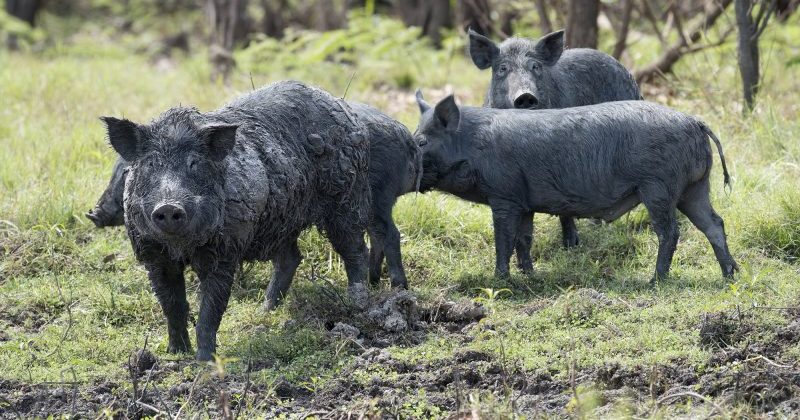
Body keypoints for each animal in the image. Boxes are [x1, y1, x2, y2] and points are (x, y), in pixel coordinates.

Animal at [101, 81, 371, 360]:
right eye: (151, 164)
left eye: (194, 163)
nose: (168, 206)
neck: (181, 247)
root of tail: (343, 107)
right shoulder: (153, 256)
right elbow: (172, 306)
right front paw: (176, 354)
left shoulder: (225, 251)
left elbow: (210, 311)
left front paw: (204, 361)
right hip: (281, 221)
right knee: (291, 258)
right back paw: (266, 311)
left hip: (346, 198)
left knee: (356, 249)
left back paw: (358, 304)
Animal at [414, 92, 738, 282]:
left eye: (421, 141)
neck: (472, 146)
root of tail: (695, 122)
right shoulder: (524, 202)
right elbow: (524, 239)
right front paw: (530, 276)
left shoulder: (504, 196)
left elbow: (503, 240)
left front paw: (500, 280)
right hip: (693, 188)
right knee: (714, 223)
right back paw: (731, 275)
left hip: (658, 187)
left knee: (670, 231)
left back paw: (655, 280)